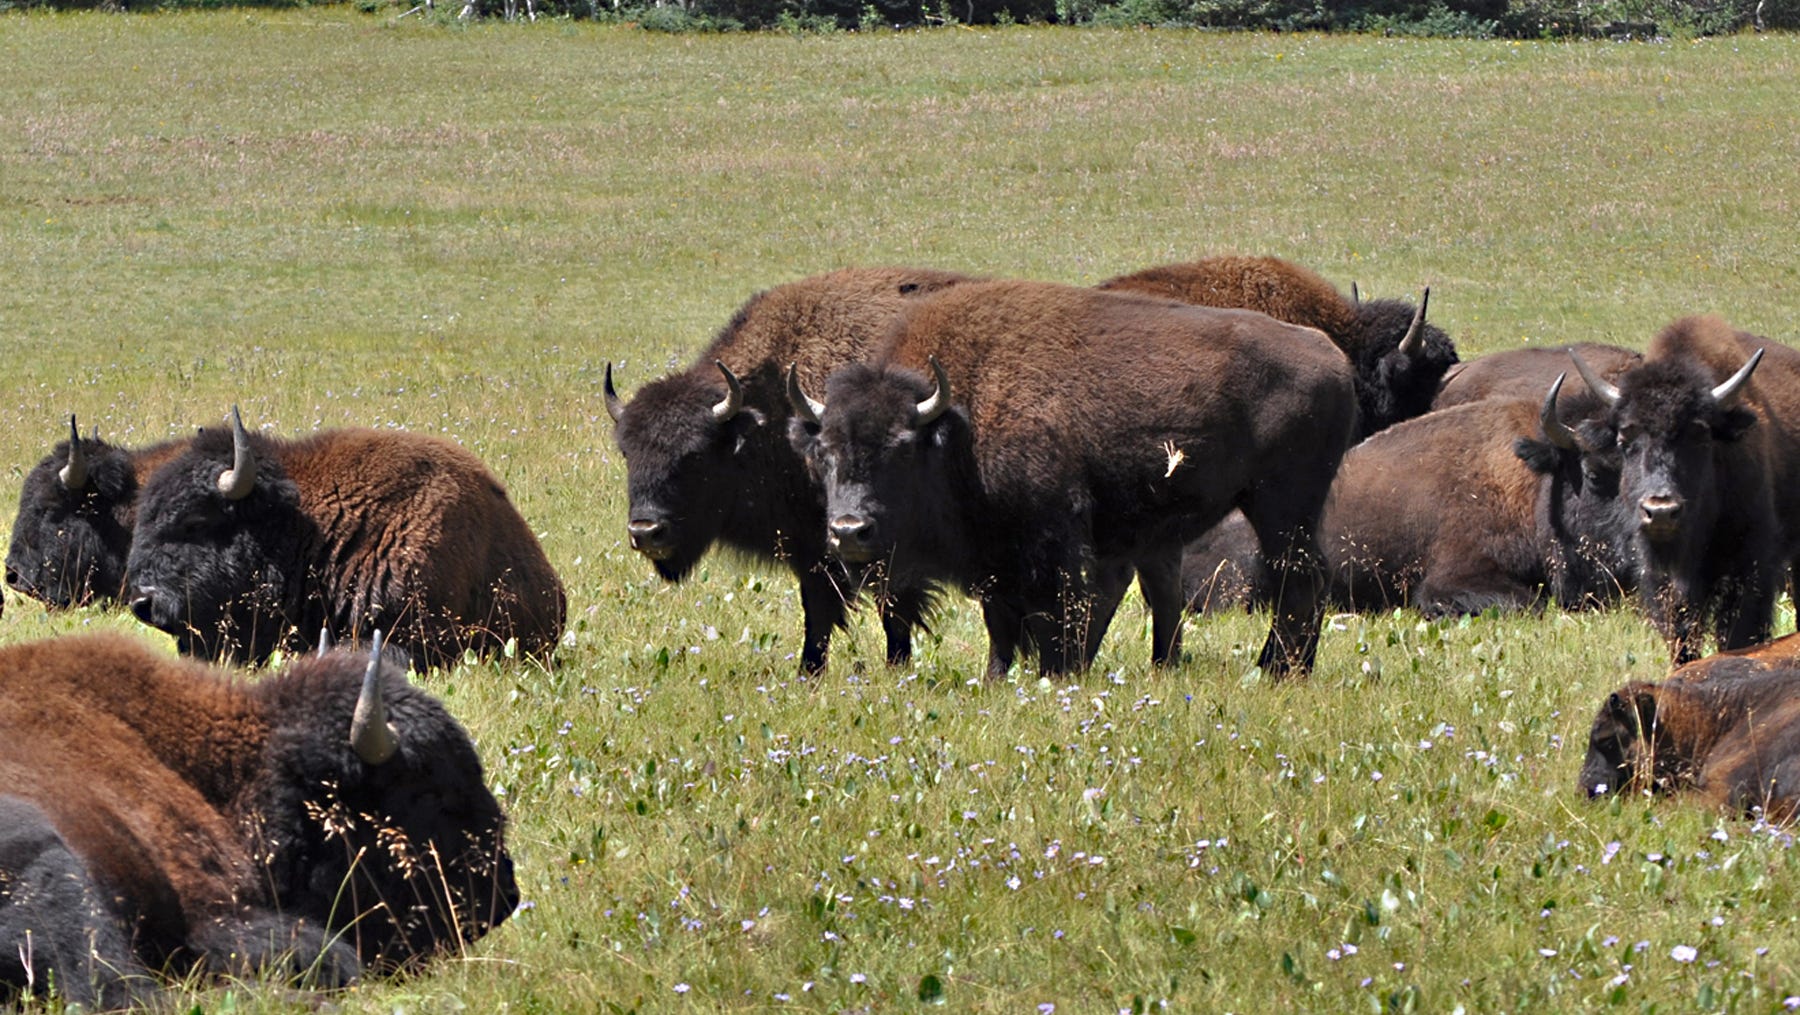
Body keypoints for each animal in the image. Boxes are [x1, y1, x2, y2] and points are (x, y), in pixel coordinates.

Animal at [789, 280, 1357, 678]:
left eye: (901, 449)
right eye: (823, 451)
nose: (848, 531)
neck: (956, 421)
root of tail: (1330, 355)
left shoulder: (1050, 539)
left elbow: (1051, 611)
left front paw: (1053, 672)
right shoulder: (993, 556)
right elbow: (1000, 620)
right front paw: (997, 677)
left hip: (1282, 504)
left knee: (1300, 578)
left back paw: (1277, 671)